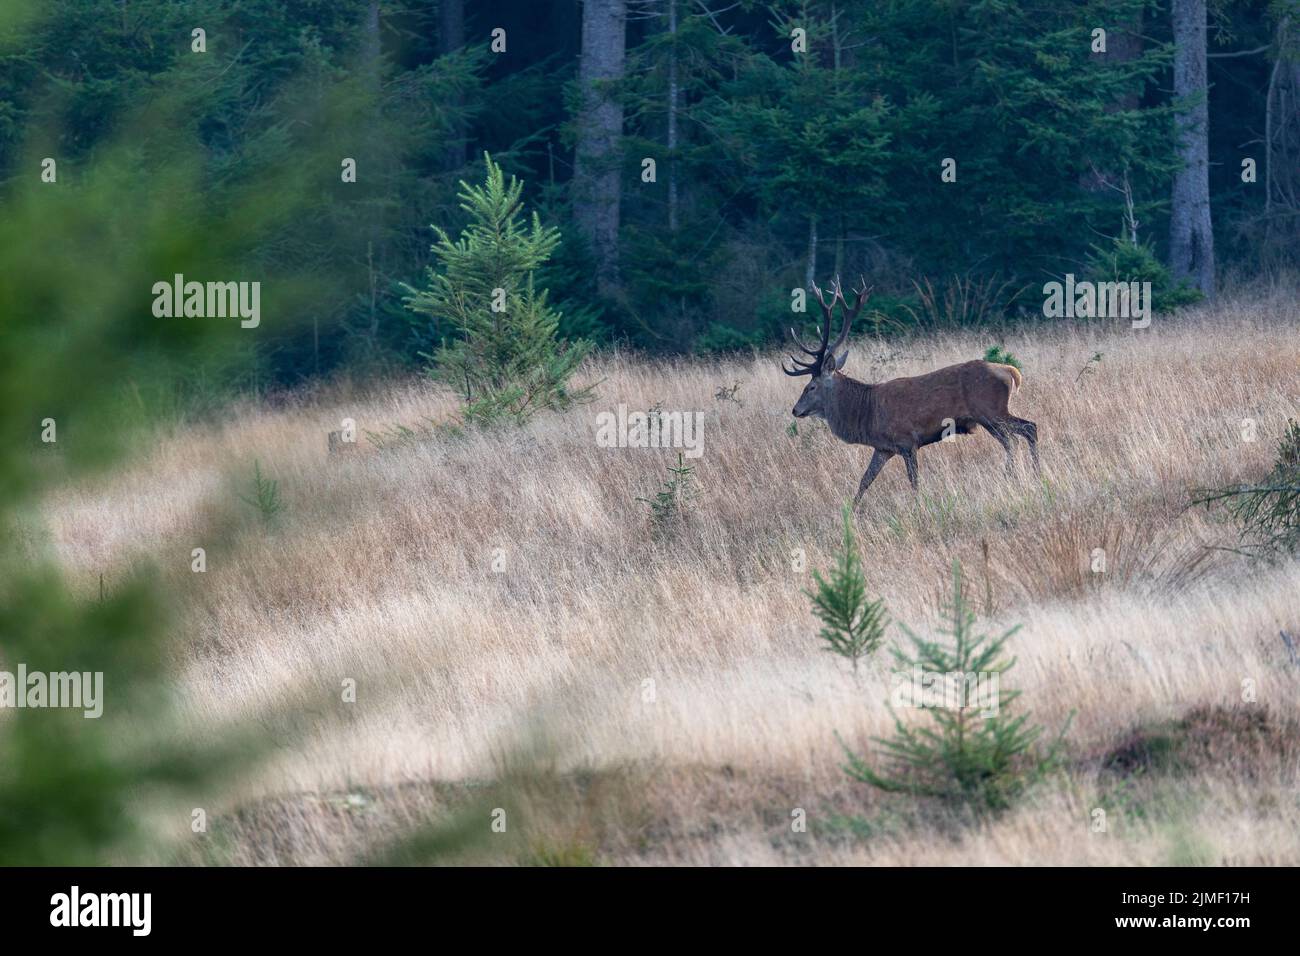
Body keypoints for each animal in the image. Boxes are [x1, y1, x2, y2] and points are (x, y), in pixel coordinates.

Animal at [783, 277, 1039, 506]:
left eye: (811, 386)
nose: (795, 410)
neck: (867, 413)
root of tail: (1010, 371)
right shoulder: (883, 448)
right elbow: (865, 480)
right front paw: (851, 511)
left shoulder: (907, 441)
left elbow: (913, 480)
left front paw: (919, 505)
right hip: (991, 416)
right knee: (1026, 430)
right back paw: (1033, 473)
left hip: (990, 411)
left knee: (1020, 434)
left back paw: (1015, 475)